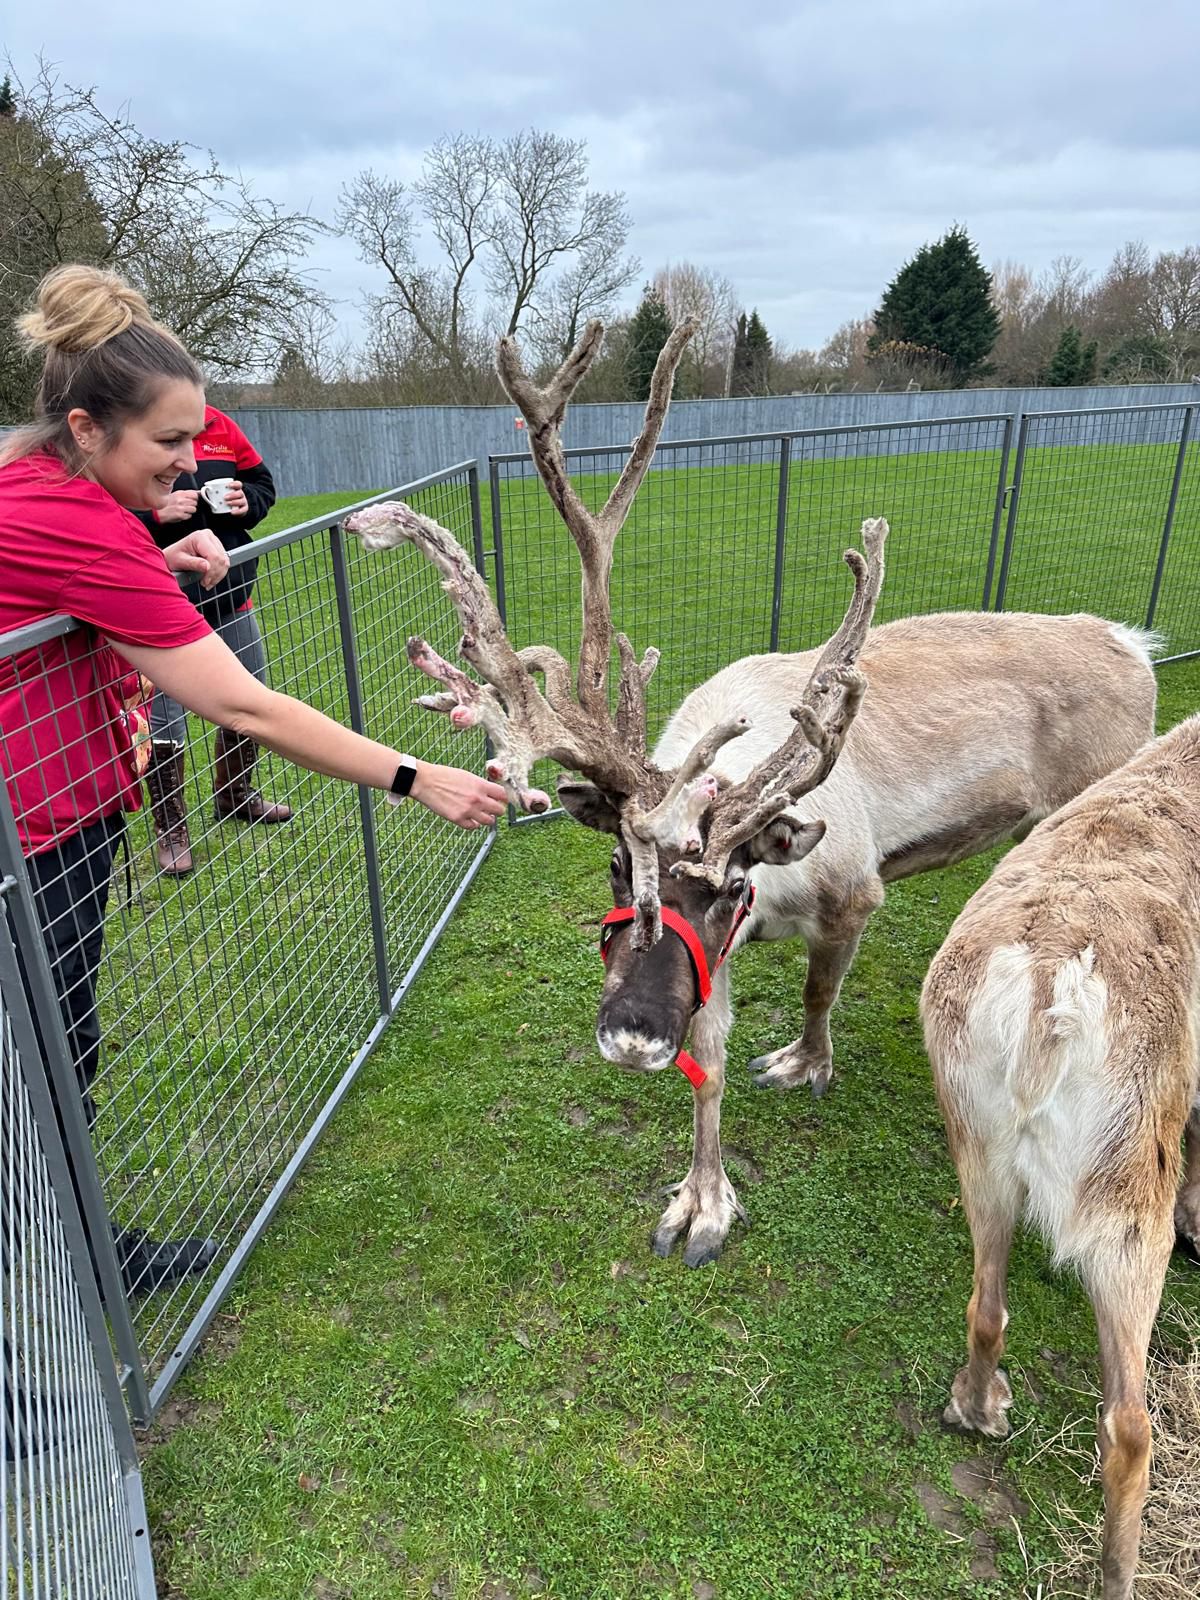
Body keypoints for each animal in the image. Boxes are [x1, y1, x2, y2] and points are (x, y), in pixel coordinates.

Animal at [345, 318, 1158, 1268]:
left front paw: (806, 1063)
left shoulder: (852, 894)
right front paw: (702, 1201)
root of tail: (1135, 646)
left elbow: (816, 994)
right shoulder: (711, 961)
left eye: (734, 884)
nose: (632, 1034)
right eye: (617, 863)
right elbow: (710, 1064)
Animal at [920, 715, 1200, 1600]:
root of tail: (1046, 990)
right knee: (1131, 1424)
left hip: (977, 1140)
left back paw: (977, 1407)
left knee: (985, 1300)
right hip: (1127, 1191)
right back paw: (1119, 1577)